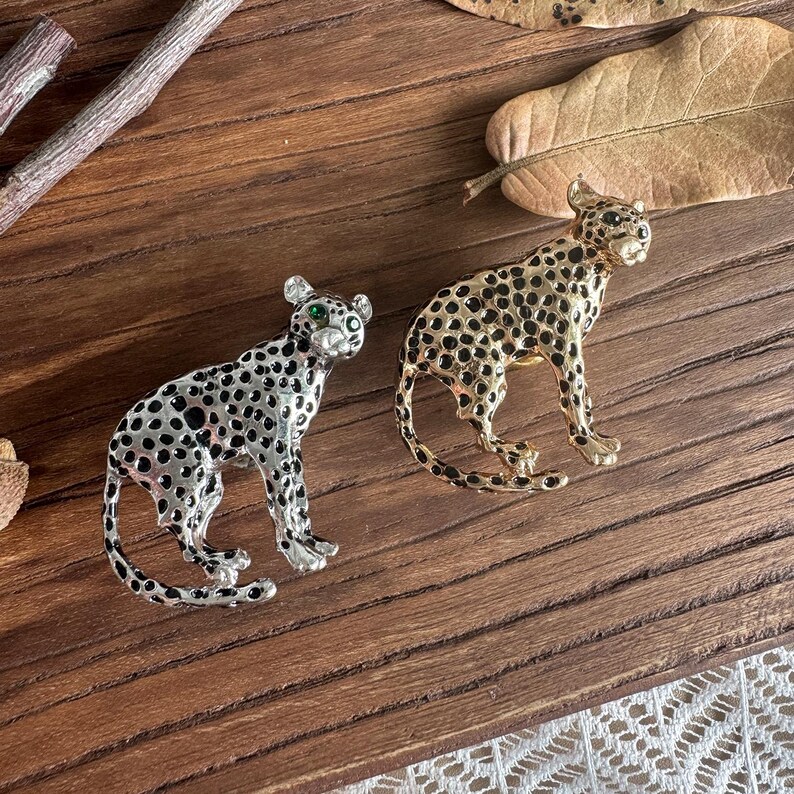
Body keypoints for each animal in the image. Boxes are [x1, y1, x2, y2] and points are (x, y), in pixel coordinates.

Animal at [103, 275, 372, 607]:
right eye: (317, 312)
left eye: (352, 323)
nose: (335, 337)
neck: (309, 362)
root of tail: (113, 451)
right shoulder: (270, 450)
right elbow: (281, 504)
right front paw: (300, 555)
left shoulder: (292, 448)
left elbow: (299, 498)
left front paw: (314, 543)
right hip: (185, 478)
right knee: (175, 526)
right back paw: (216, 570)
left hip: (208, 484)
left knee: (194, 529)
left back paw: (223, 558)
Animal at [395, 178, 651, 492]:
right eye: (612, 218)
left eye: (643, 229)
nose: (639, 241)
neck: (595, 265)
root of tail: (409, 347)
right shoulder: (563, 349)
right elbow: (575, 397)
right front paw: (590, 448)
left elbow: (585, 399)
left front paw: (598, 440)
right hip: (484, 371)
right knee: (475, 423)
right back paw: (517, 455)